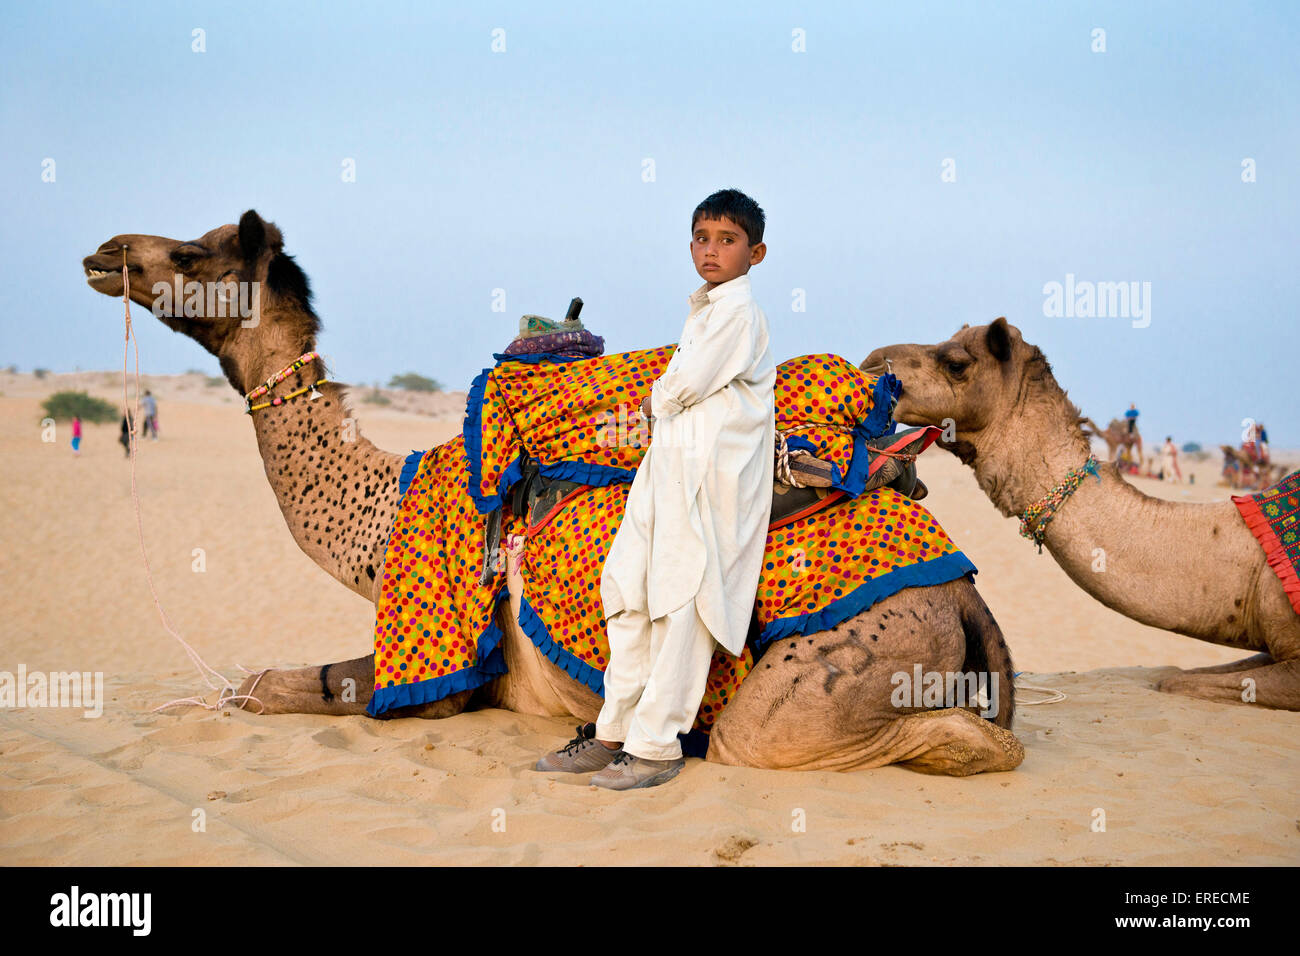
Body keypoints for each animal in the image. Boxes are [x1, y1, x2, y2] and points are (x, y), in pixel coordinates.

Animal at [81, 210, 1024, 775]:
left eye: (194, 253)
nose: (106, 251)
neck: (386, 504)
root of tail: (964, 597)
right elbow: (254, 683)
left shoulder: (443, 672)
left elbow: (264, 684)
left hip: (821, 682)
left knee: (937, 743)